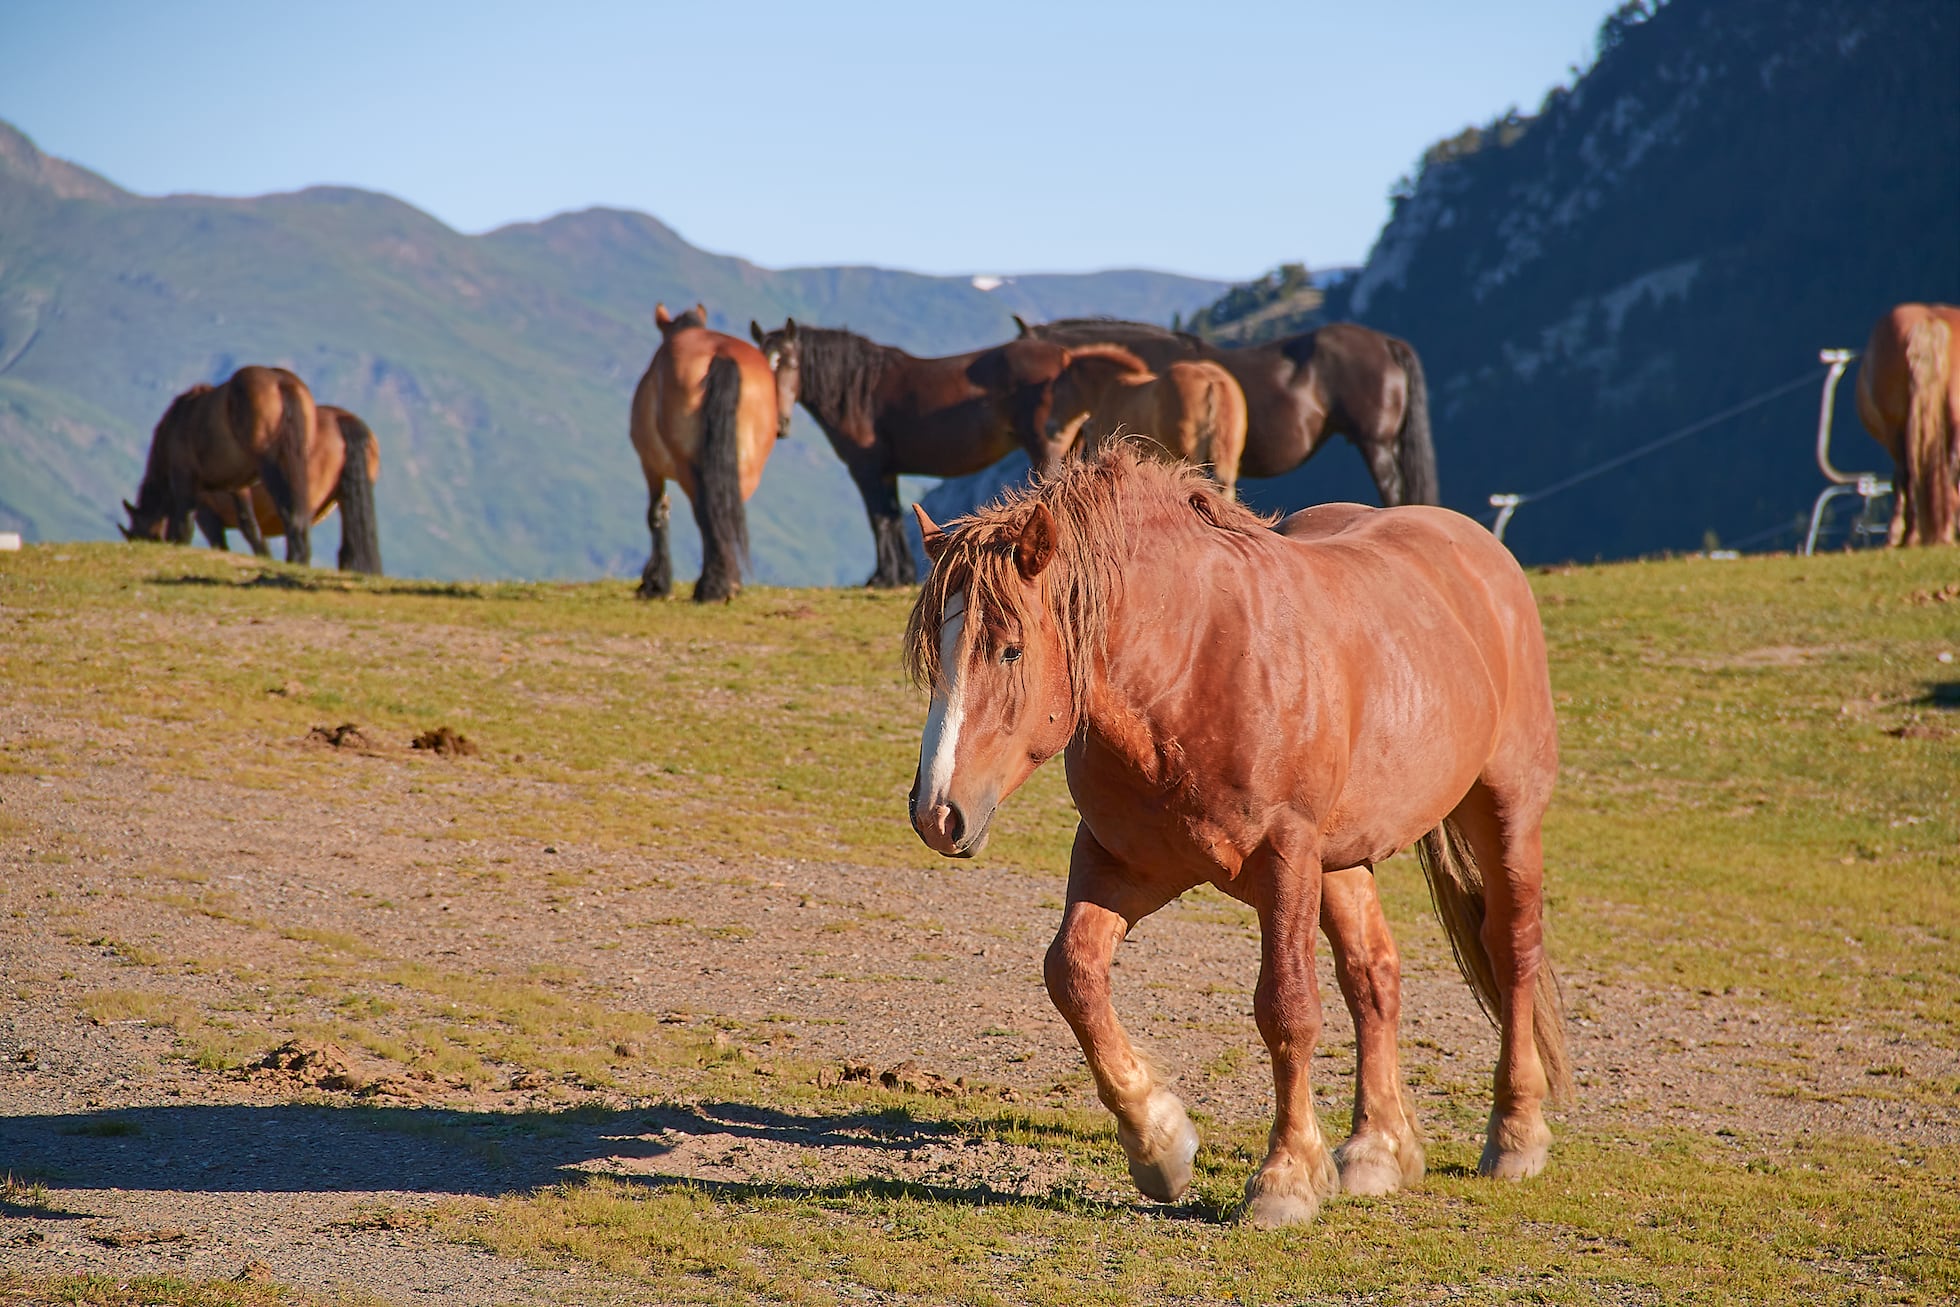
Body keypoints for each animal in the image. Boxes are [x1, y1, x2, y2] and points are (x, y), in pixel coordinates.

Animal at [121, 366, 316, 565]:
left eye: (134, 535)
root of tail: (281, 381)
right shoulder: (238, 487)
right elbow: (249, 526)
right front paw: (264, 555)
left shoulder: (184, 479)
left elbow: (183, 523)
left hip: (272, 465)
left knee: (289, 511)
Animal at [630, 303, 791, 602]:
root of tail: (722, 356)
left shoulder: (650, 465)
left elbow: (657, 512)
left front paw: (655, 583)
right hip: (745, 466)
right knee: (727, 511)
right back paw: (729, 582)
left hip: (687, 466)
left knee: (706, 513)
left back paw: (712, 586)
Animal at [750, 320, 1072, 587]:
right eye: (763, 365)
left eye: (791, 363)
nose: (778, 425)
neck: (858, 392)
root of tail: (1065, 358)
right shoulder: (887, 472)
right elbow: (892, 517)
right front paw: (901, 574)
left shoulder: (866, 470)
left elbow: (878, 518)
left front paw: (882, 578)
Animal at [903, 447, 1570, 1228]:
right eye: (936, 656)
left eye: (1009, 651)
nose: (937, 813)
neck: (1193, 669)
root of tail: (1479, 551)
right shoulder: (1120, 861)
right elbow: (1073, 976)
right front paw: (1159, 1143)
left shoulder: (1285, 859)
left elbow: (1287, 1009)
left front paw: (1285, 1177)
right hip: (1342, 861)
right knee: (1373, 975)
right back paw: (1376, 1148)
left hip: (1504, 812)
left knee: (1512, 950)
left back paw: (1515, 1133)